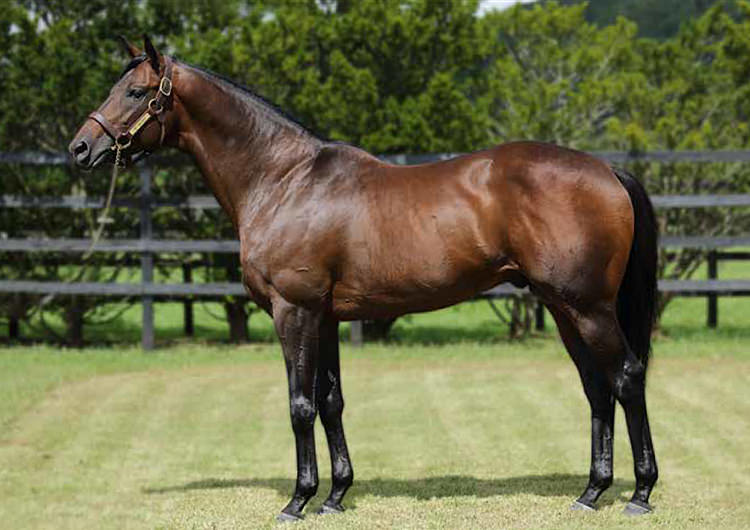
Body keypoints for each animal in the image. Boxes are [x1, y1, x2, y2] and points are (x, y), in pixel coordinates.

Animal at [69, 36, 658, 521]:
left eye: (137, 91)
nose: (80, 148)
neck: (283, 180)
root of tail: (607, 171)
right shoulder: (326, 317)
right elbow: (331, 402)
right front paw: (334, 496)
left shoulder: (294, 311)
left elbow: (300, 405)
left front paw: (298, 500)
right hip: (562, 308)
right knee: (597, 387)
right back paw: (591, 492)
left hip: (588, 307)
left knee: (627, 377)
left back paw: (640, 493)